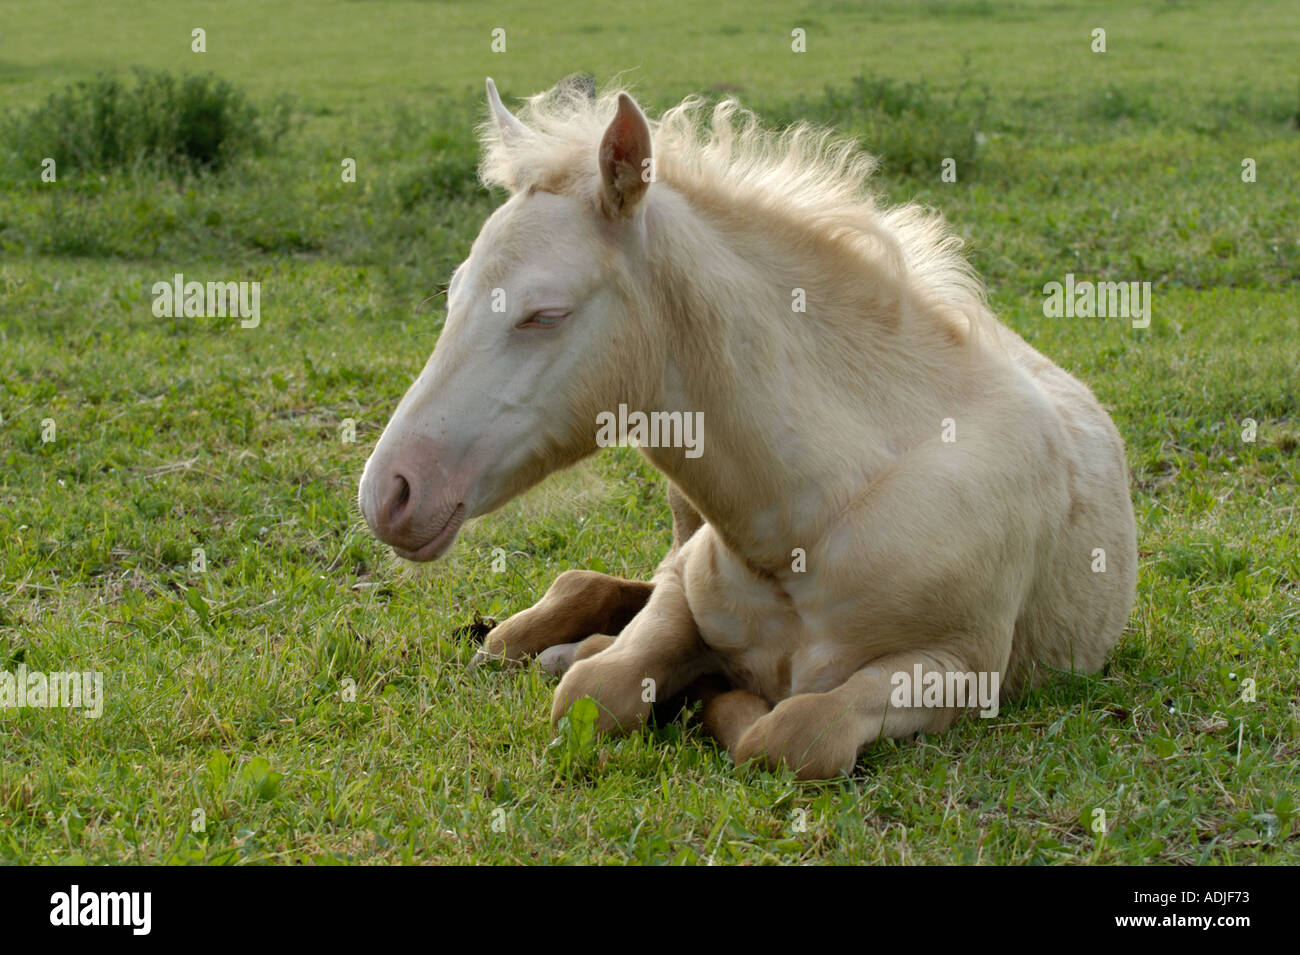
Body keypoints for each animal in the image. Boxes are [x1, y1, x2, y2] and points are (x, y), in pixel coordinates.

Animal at [357, 77, 1138, 779]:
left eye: (544, 314)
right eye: (454, 293)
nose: (390, 493)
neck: (817, 518)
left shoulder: (958, 668)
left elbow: (790, 735)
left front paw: (714, 693)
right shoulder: (686, 589)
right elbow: (596, 690)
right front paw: (663, 676)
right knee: (592, 582)